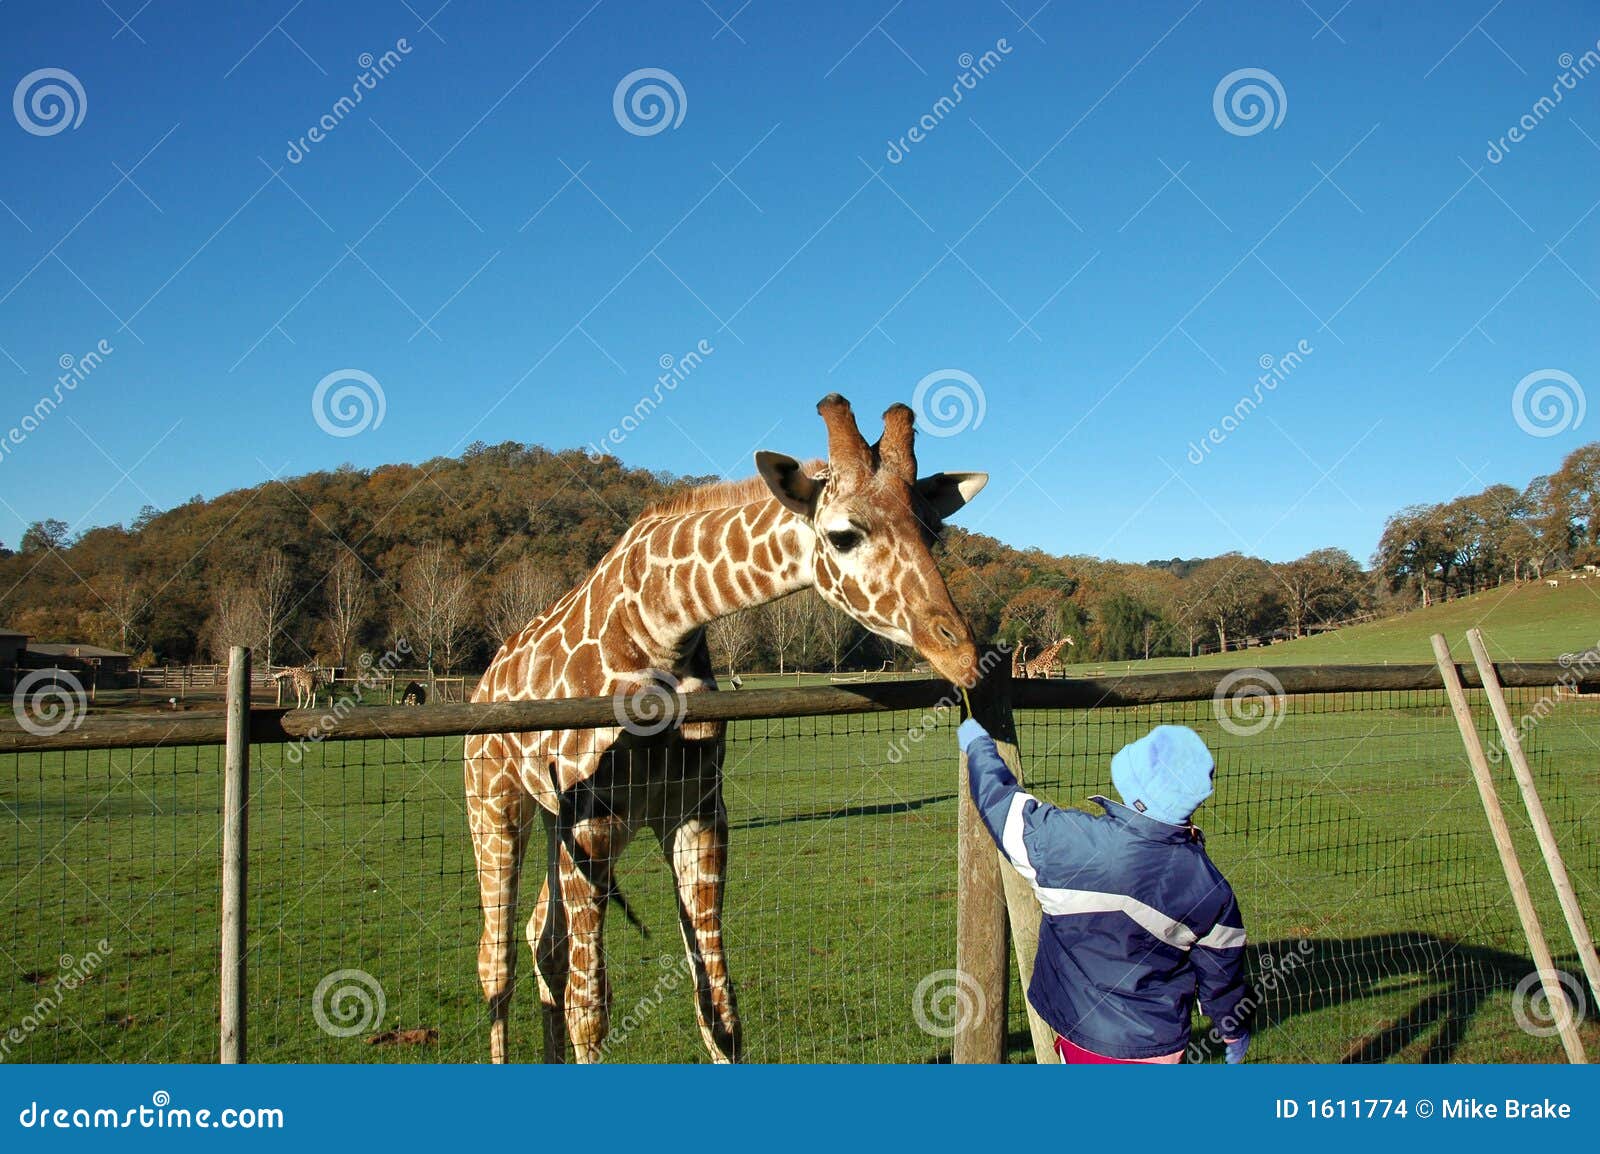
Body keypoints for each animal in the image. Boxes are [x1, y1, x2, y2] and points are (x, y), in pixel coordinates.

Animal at [466, 394, 987, 1064]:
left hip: (559, 824)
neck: (659, 624)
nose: (962, 654)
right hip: (496, 800)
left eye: (934, 531)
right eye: (844, 534)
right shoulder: (593, 822)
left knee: (542, 938)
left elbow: (718, 1005)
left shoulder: (696, 814)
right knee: (497, 959)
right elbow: (593, 1012)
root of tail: (485, 679)